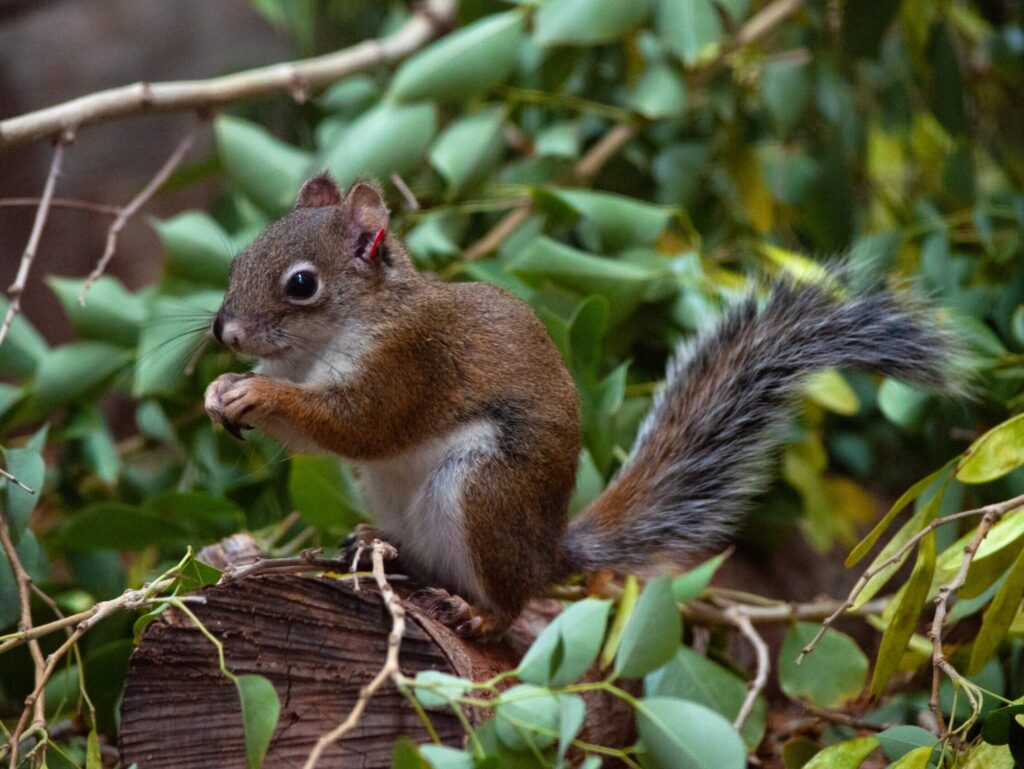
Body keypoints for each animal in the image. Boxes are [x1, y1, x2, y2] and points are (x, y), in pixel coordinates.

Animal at [204, 174, 964, 638]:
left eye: (301, 284)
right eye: (236, 259)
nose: (222, 331)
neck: (329, 340)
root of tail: (549, 552)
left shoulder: (410, 365)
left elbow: (358, 423)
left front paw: (256, 392)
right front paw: (221, 390)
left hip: (484, 490)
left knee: (510, 597)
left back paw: (480, 615)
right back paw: (376, 544)